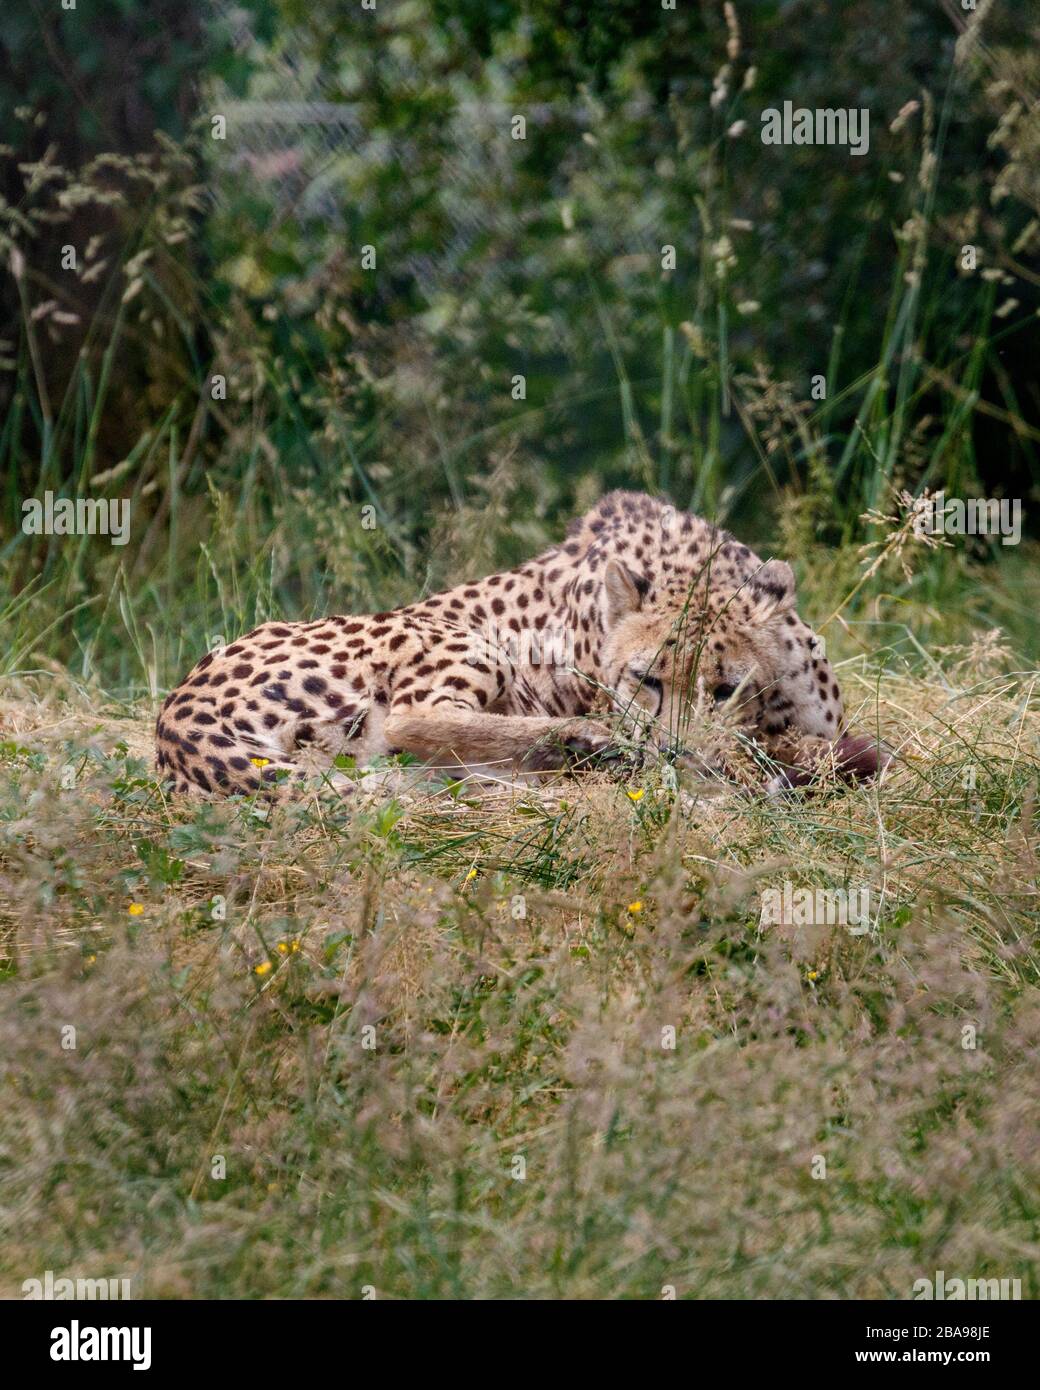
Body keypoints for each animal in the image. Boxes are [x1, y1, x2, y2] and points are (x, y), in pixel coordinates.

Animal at [156, 490, 884, 796]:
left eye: (725, 689)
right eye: (646, 680)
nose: (677, 752)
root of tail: (173, 719)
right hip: (455, 639)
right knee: (412, 720)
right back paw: (575, 743)